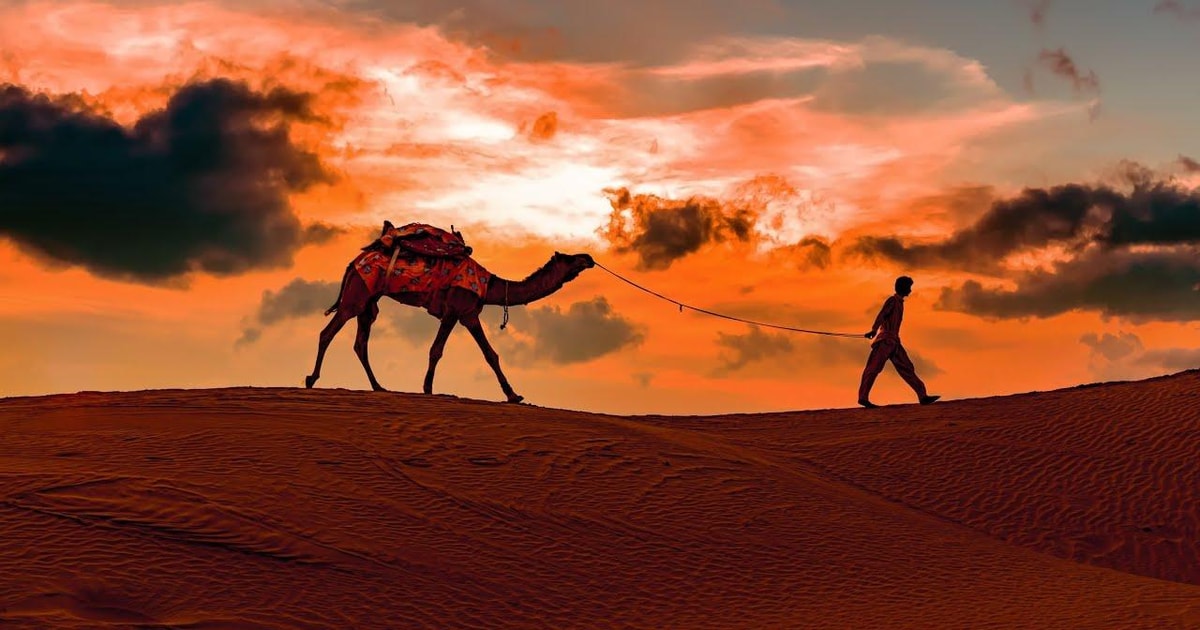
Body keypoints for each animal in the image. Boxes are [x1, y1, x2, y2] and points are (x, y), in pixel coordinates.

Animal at [305, 235, 595, 403]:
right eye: (569, 258)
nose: (589, 258)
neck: (489, 285)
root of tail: (354, 262)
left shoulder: (469, 314)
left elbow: (491, 354)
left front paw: (514, 395)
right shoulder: (455, 309)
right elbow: (436, 350)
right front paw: (428, 388)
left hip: (368, 302)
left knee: (360, 343)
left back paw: (379, 387)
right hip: (356, 296)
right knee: (328, 332)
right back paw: (311, 379)